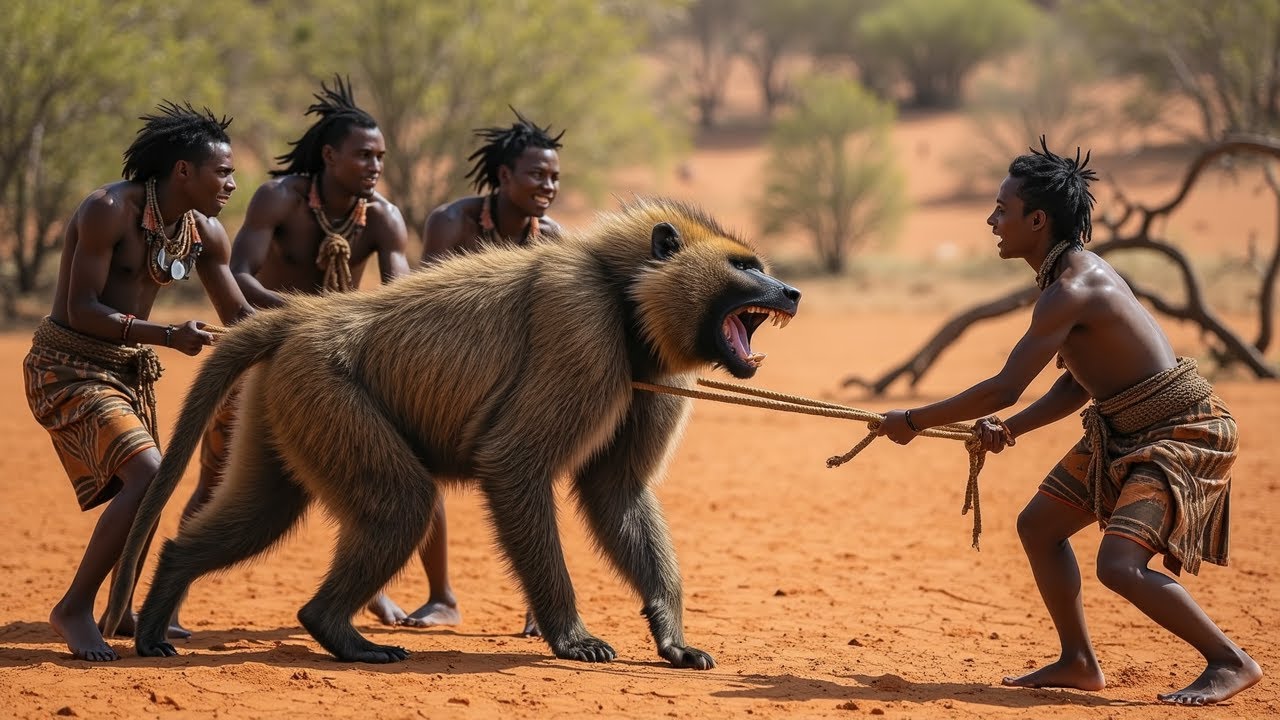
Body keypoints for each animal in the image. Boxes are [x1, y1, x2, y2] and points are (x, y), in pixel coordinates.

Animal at [104, 196, 801, 668]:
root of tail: (304, 317)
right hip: (325, 390)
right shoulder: (580, 327)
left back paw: (164, 610)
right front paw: (571, 637)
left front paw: (672, 639)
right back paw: (340, 634)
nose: (791, 292)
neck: (623, 292)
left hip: (287, 405)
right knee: (401, 505)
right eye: (745, 266)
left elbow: (616, 490)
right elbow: (514, 464)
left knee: (263, 512)